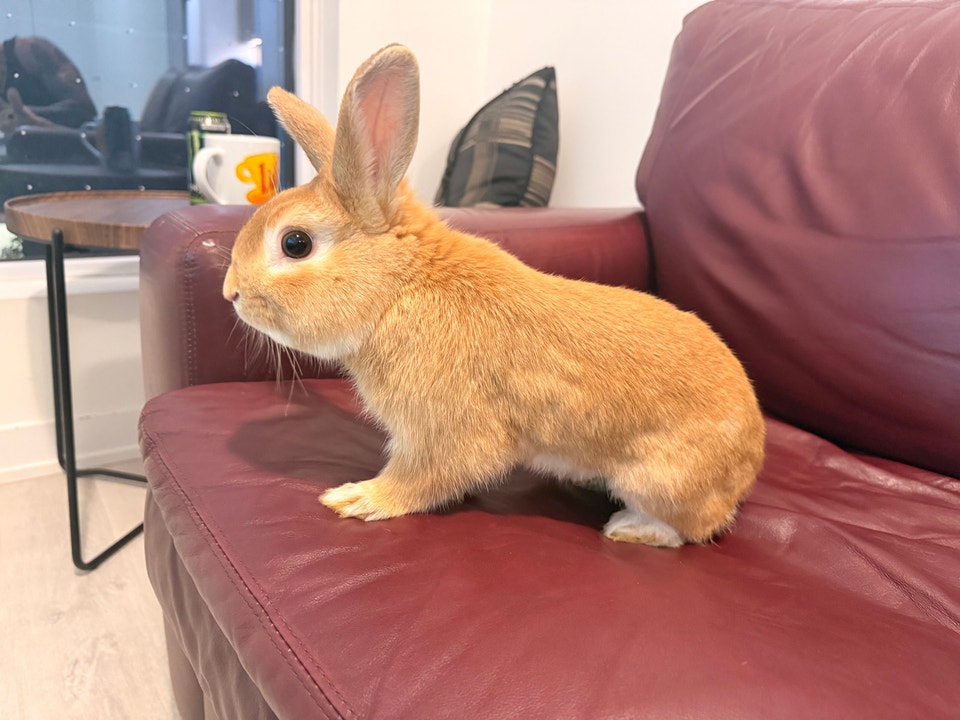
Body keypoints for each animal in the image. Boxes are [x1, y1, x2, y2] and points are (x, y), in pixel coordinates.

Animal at [222, 44, 766, 547]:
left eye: (295, 244)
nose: (230, 293)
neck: (401, 289)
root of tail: (751, 457)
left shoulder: (442, 431)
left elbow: (422, 477)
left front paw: (357, 498)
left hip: (657, 479)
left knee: (687, 530)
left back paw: (627, 528)